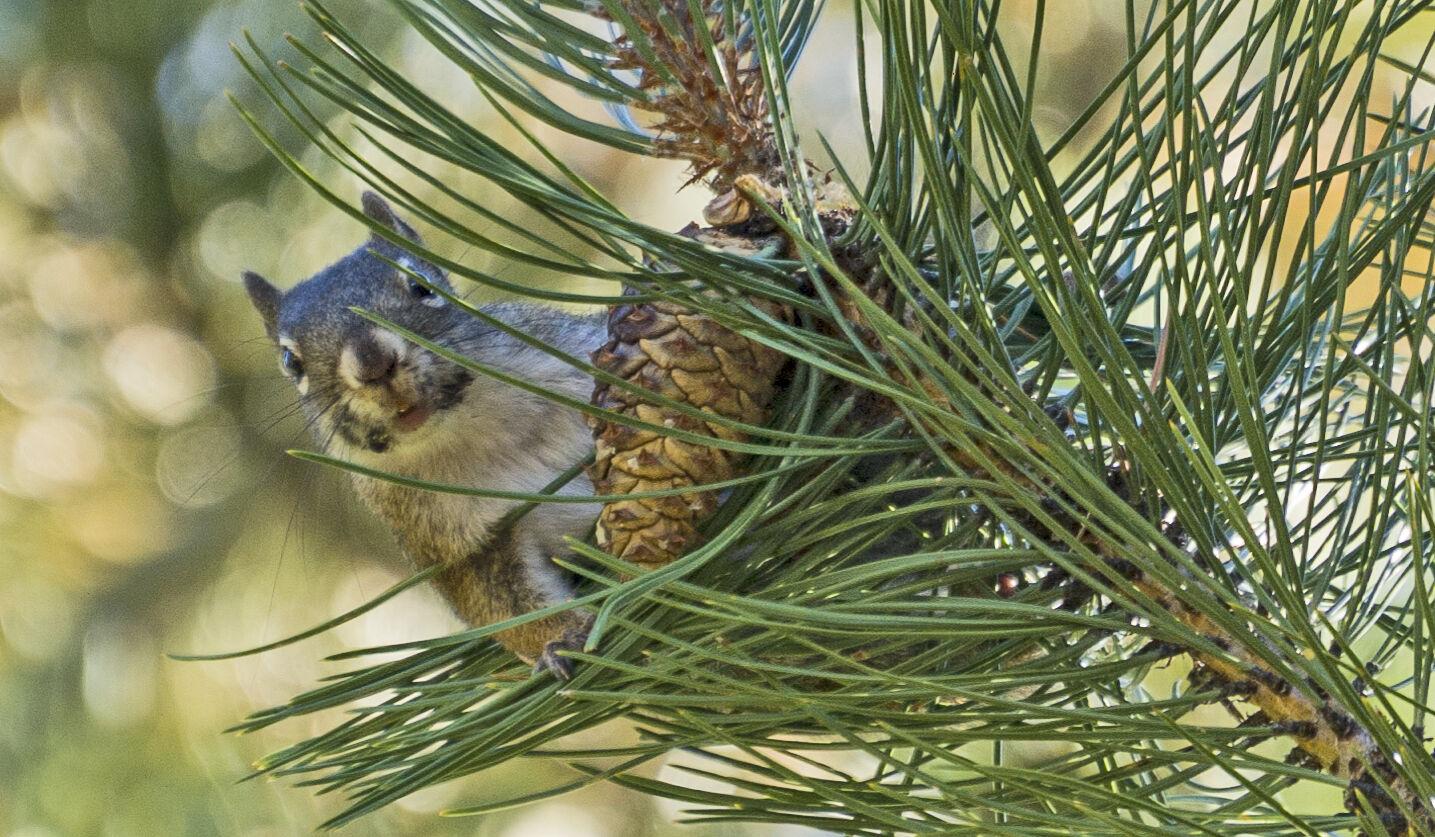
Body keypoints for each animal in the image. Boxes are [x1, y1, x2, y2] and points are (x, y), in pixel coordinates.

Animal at [242, 191, 605, 677]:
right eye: (289, 361)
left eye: (421, 286)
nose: (373, 363)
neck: (475, 432)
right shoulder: (453, 544)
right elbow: (507, 608)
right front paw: (560, 641)